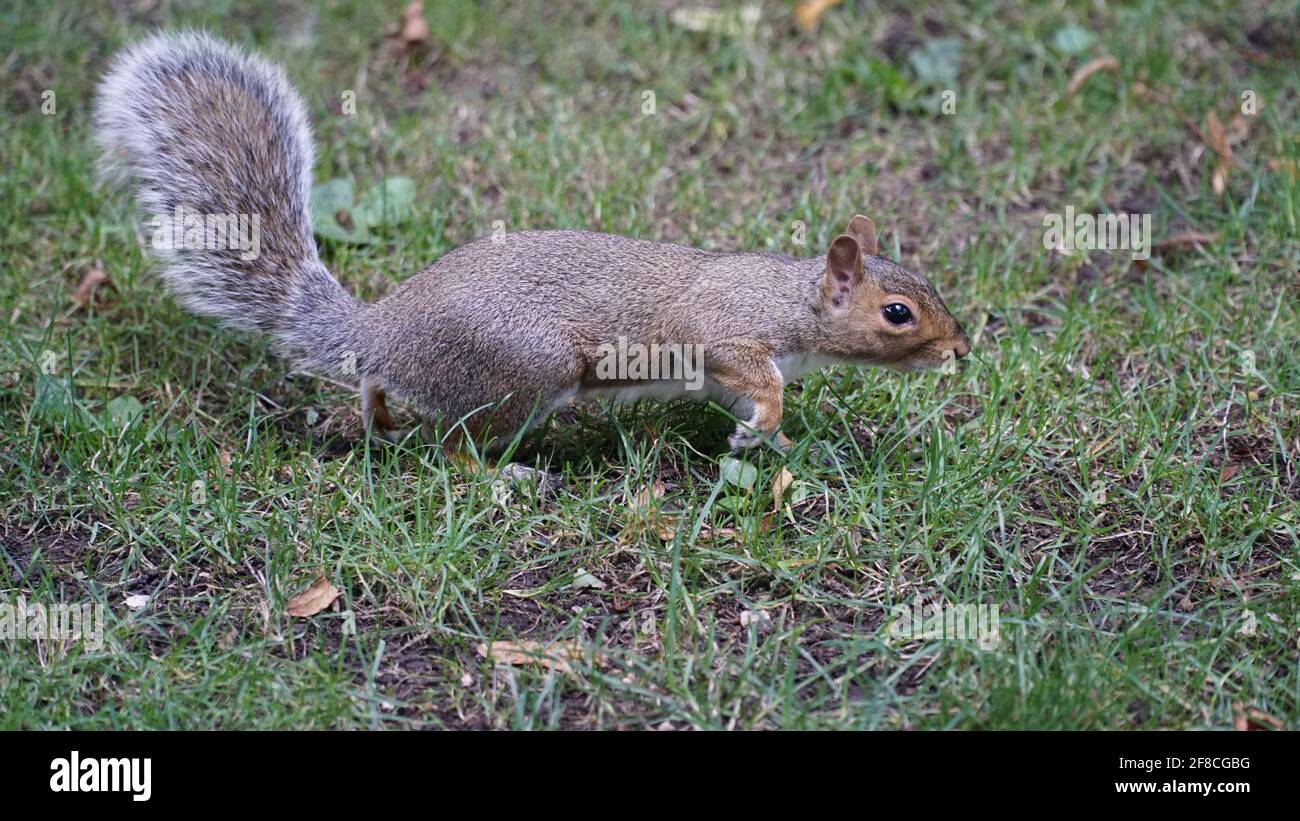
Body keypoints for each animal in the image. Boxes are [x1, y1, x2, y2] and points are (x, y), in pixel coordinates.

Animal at [94, 32, 971, 457]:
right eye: (897, 312)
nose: (961, 350)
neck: (791, 300)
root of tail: (379, 329)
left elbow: (750, 406)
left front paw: (772, 439)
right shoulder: (725, 332)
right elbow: (754, 374)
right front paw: (778, 420)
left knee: (381, 389)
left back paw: (376, 416)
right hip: (526, 372)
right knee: (454, 448)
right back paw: (508, 473)